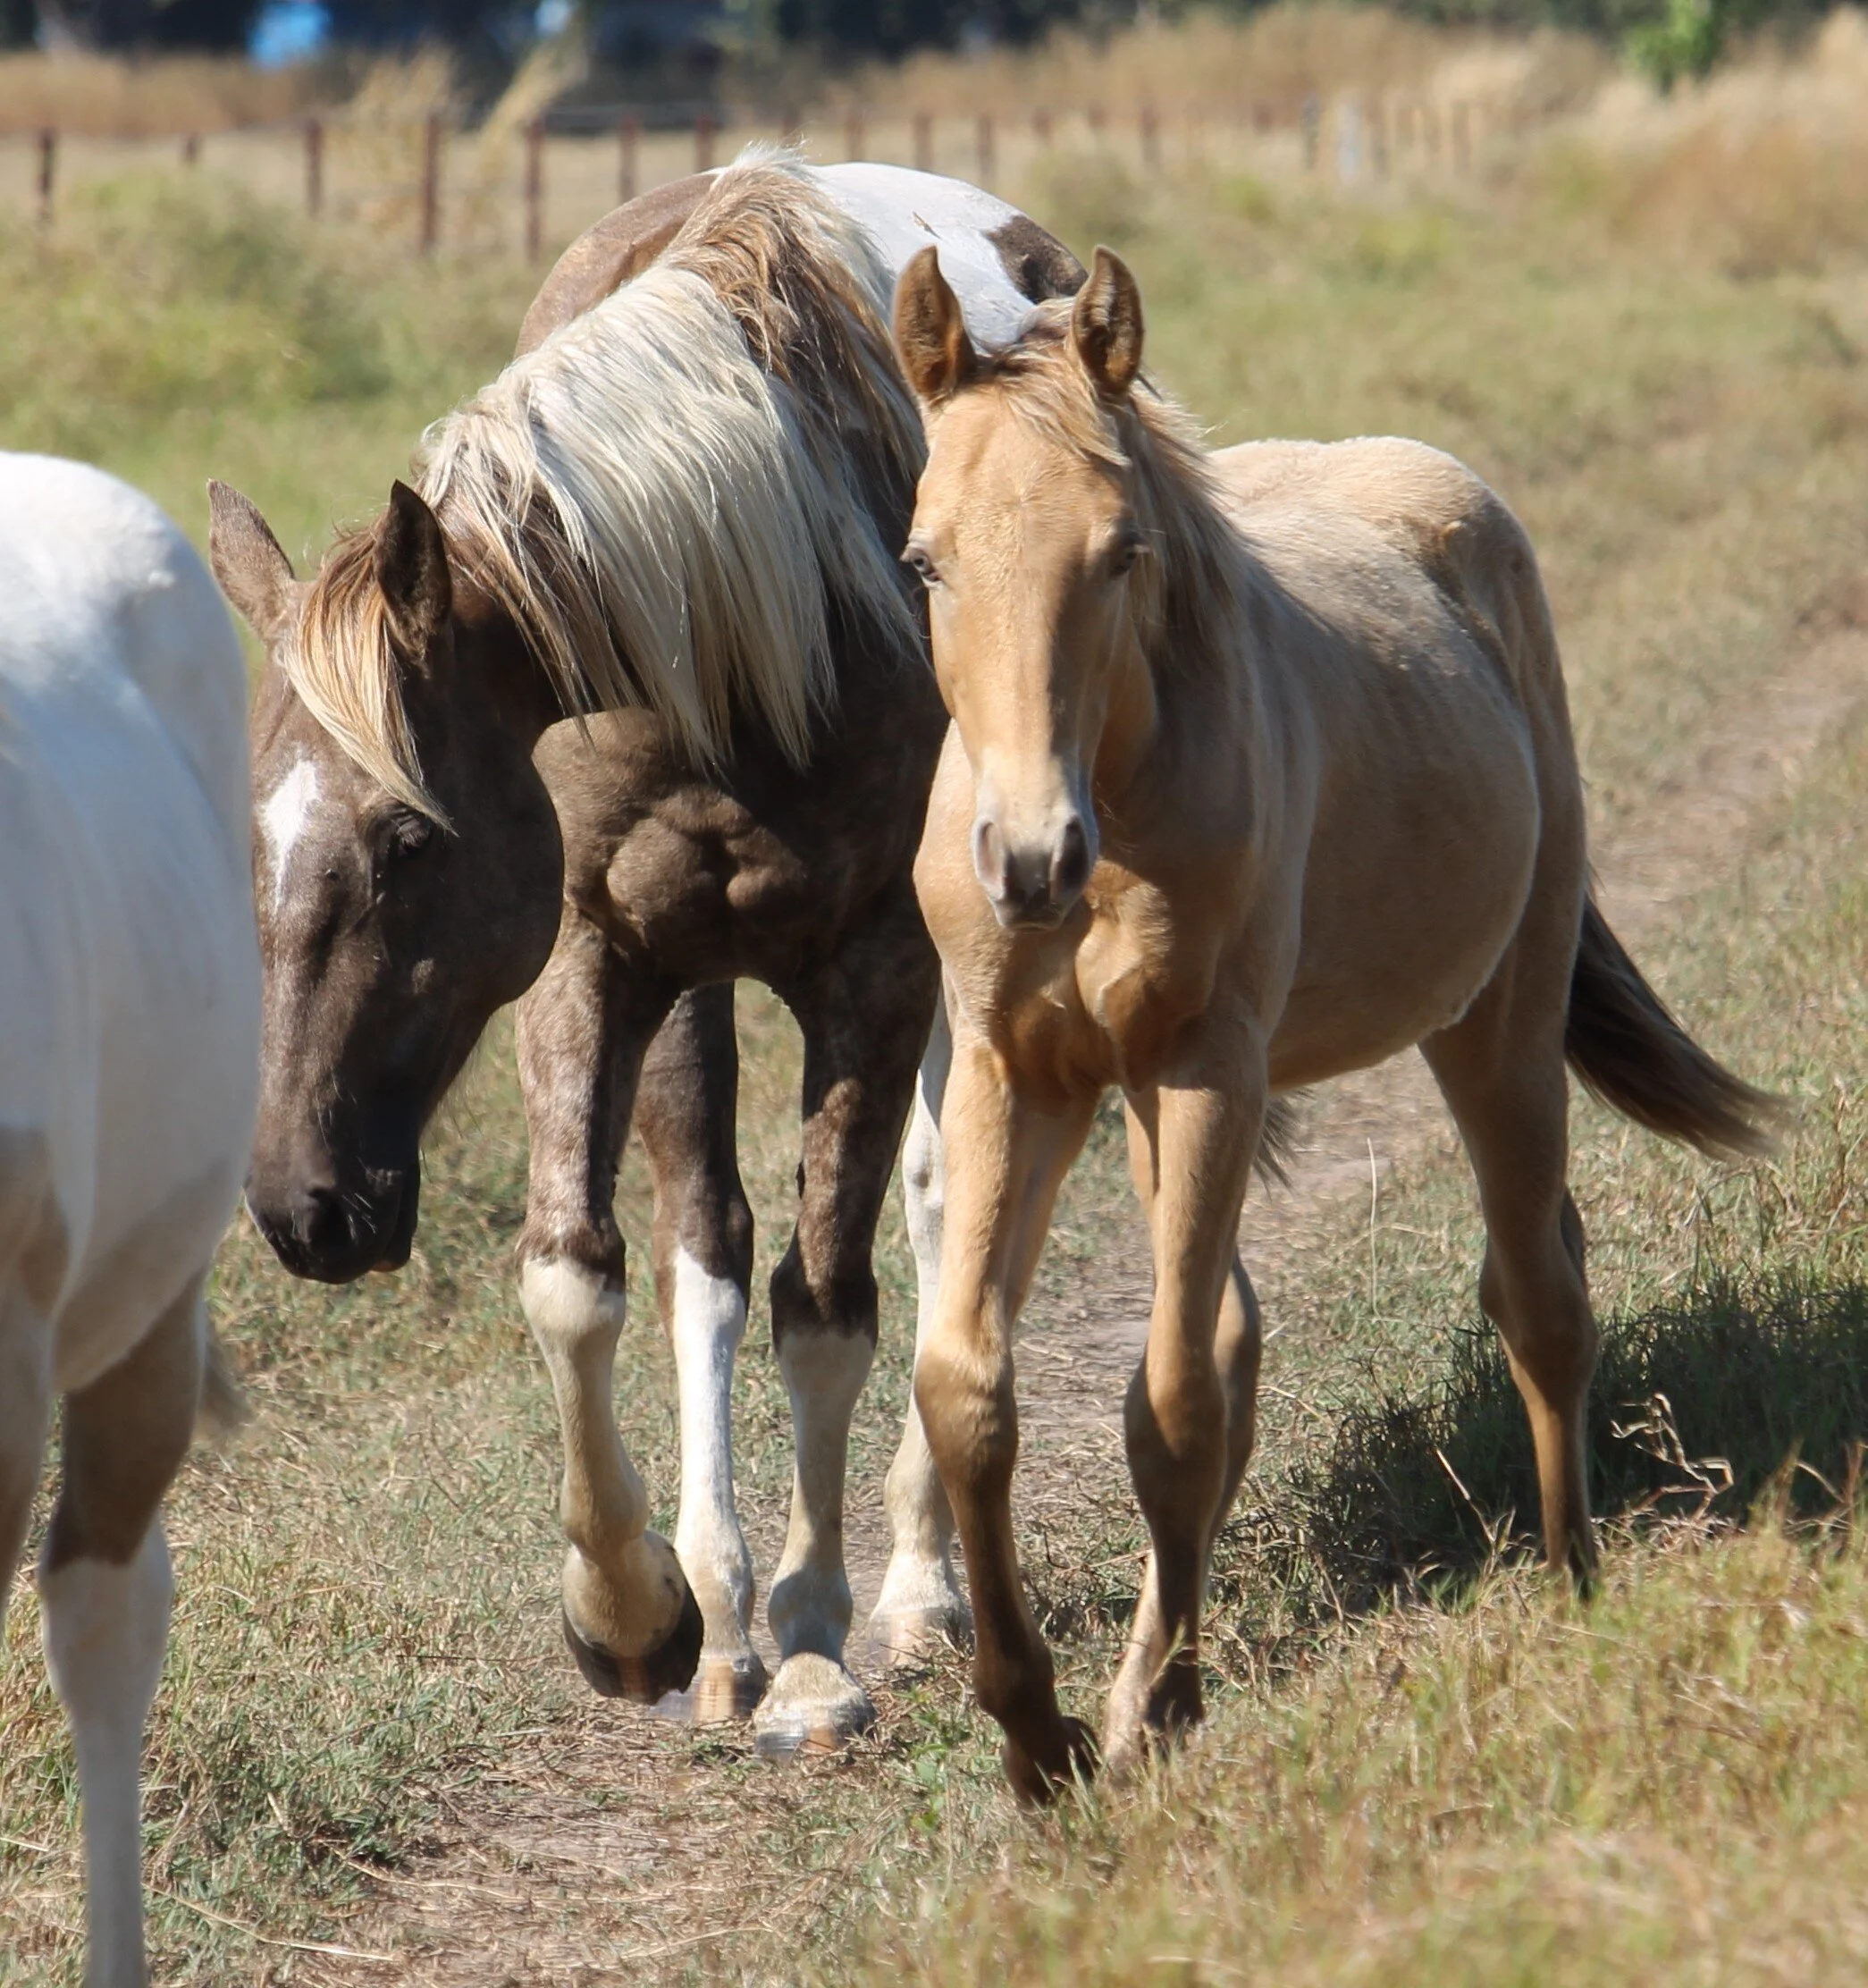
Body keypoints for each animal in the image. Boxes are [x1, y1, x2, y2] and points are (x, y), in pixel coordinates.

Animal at [206, 157, 1086, 1755]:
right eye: (253, 837)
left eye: (408, 842)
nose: (306, 1211)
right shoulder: (602, 952)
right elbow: (600, 1273)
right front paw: (646, 1614)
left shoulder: (872, 968)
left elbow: (826, 1303)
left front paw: (813, 1649)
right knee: (713, 1247)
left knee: (943, 1212)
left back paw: (920, 1591)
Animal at [888, 245, 1779, 1800]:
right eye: (924, 560)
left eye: (1120, 552)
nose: (1028, 861)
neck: (1119, 807)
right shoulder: (1019, 1071)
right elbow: (969, 1394)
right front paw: (1038, 1734)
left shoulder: (1204, 1069)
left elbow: (1172, 1405)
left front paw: (1161, 1703)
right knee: (1263, 1334)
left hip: (1496, 1014)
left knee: (1537, 1294)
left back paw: (1571, 1581)